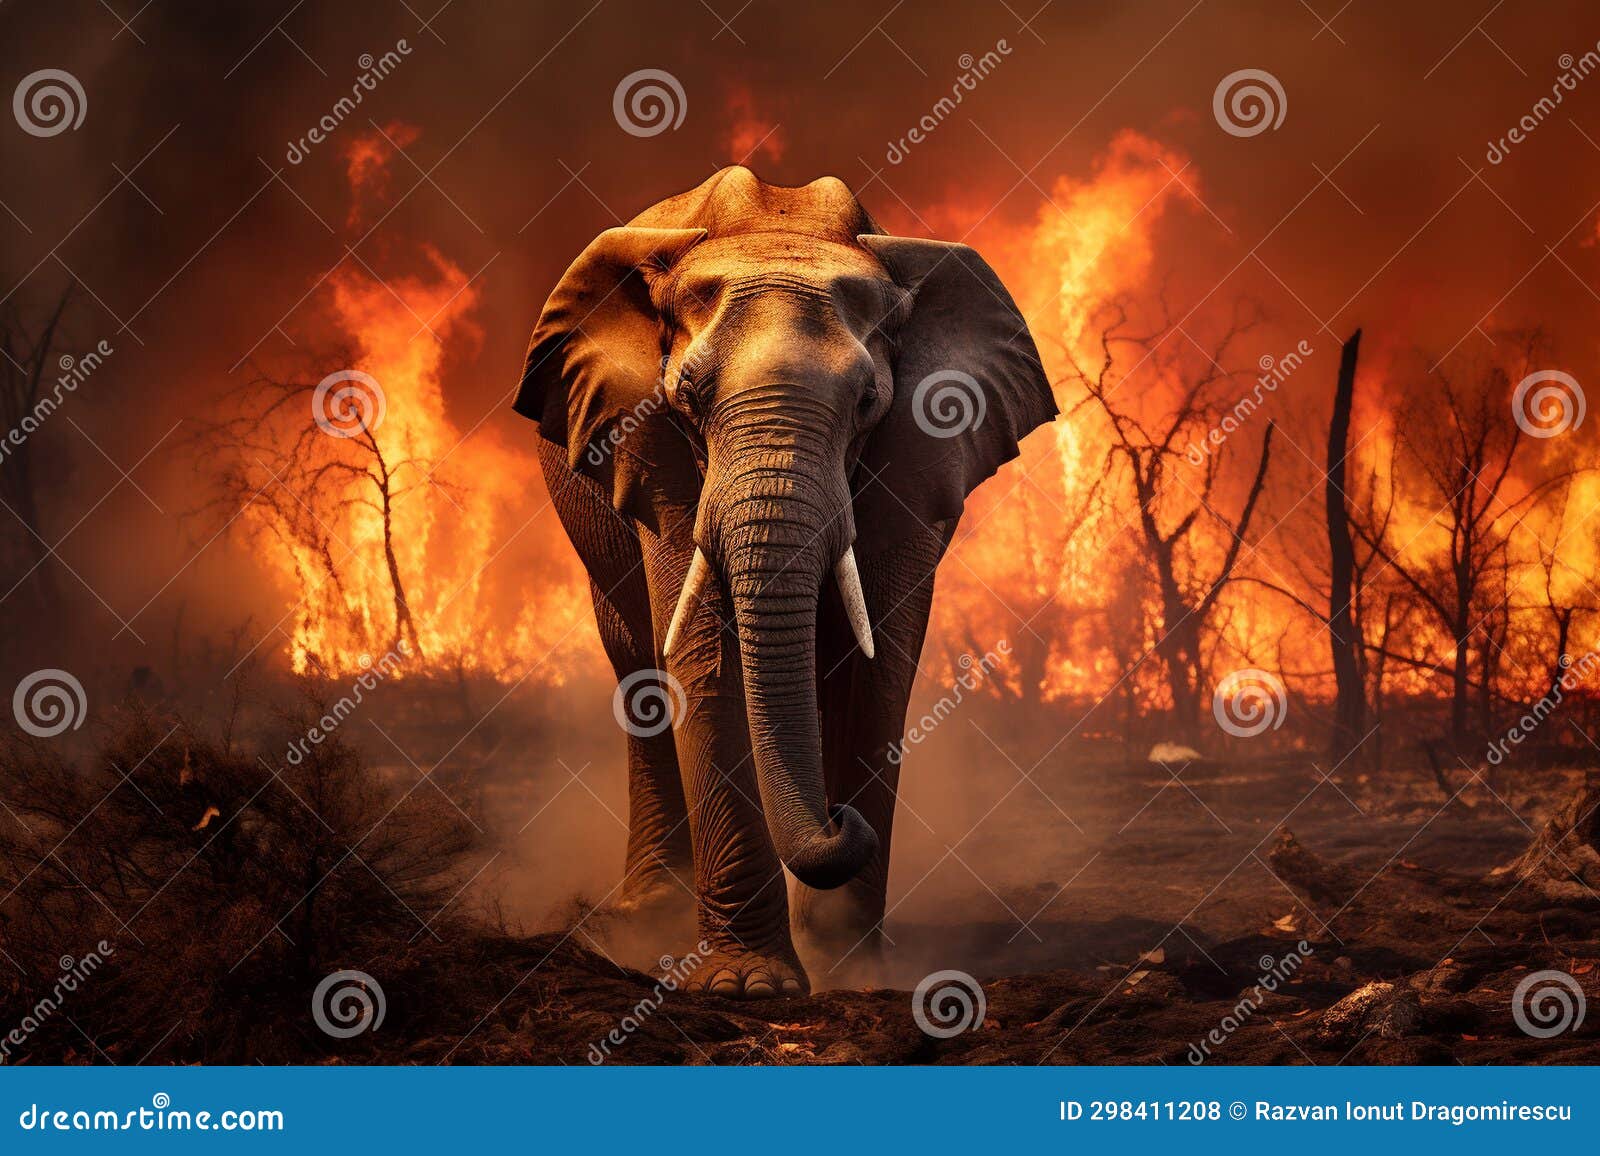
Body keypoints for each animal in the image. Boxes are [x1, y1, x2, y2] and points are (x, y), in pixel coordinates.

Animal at [516, 166, 1056, 998]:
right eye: (688, 396)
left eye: (868, 403)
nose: (838, 817)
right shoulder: (652, 448)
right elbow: (703, 657)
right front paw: (750, 986)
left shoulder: (914, 457)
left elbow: (877, 665)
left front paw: (853, 971)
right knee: (635, 660)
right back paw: (648, 914)